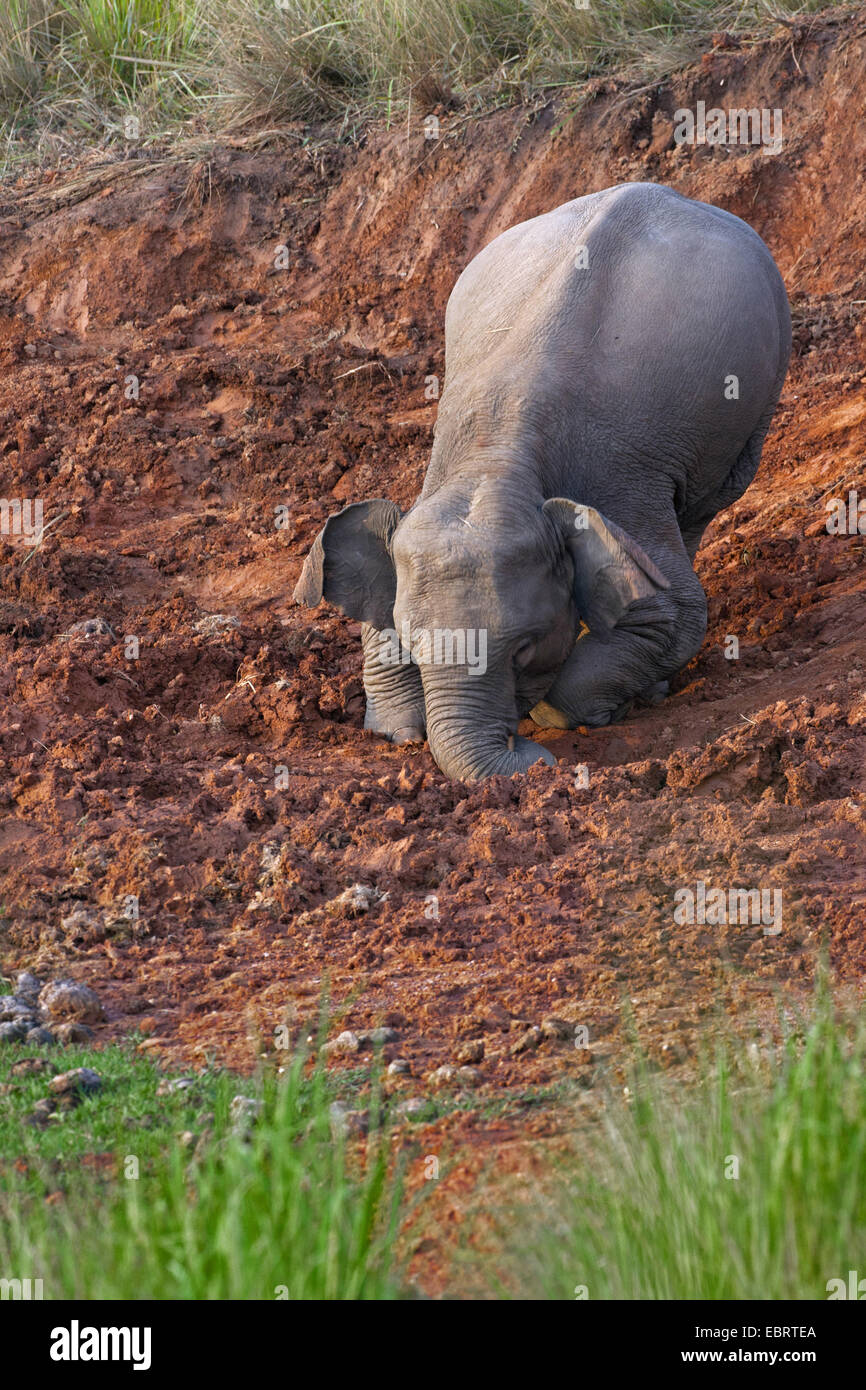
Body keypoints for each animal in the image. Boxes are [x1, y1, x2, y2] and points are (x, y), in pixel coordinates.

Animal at [293, 181, 791, 781]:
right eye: (413, 647)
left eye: (524, 651)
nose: (525, 754)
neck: (499, 452)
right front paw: (400, 731)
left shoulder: (621, 474)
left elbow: (676, 611)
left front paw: (565, 713)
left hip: (760, 396)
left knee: (703, 507)